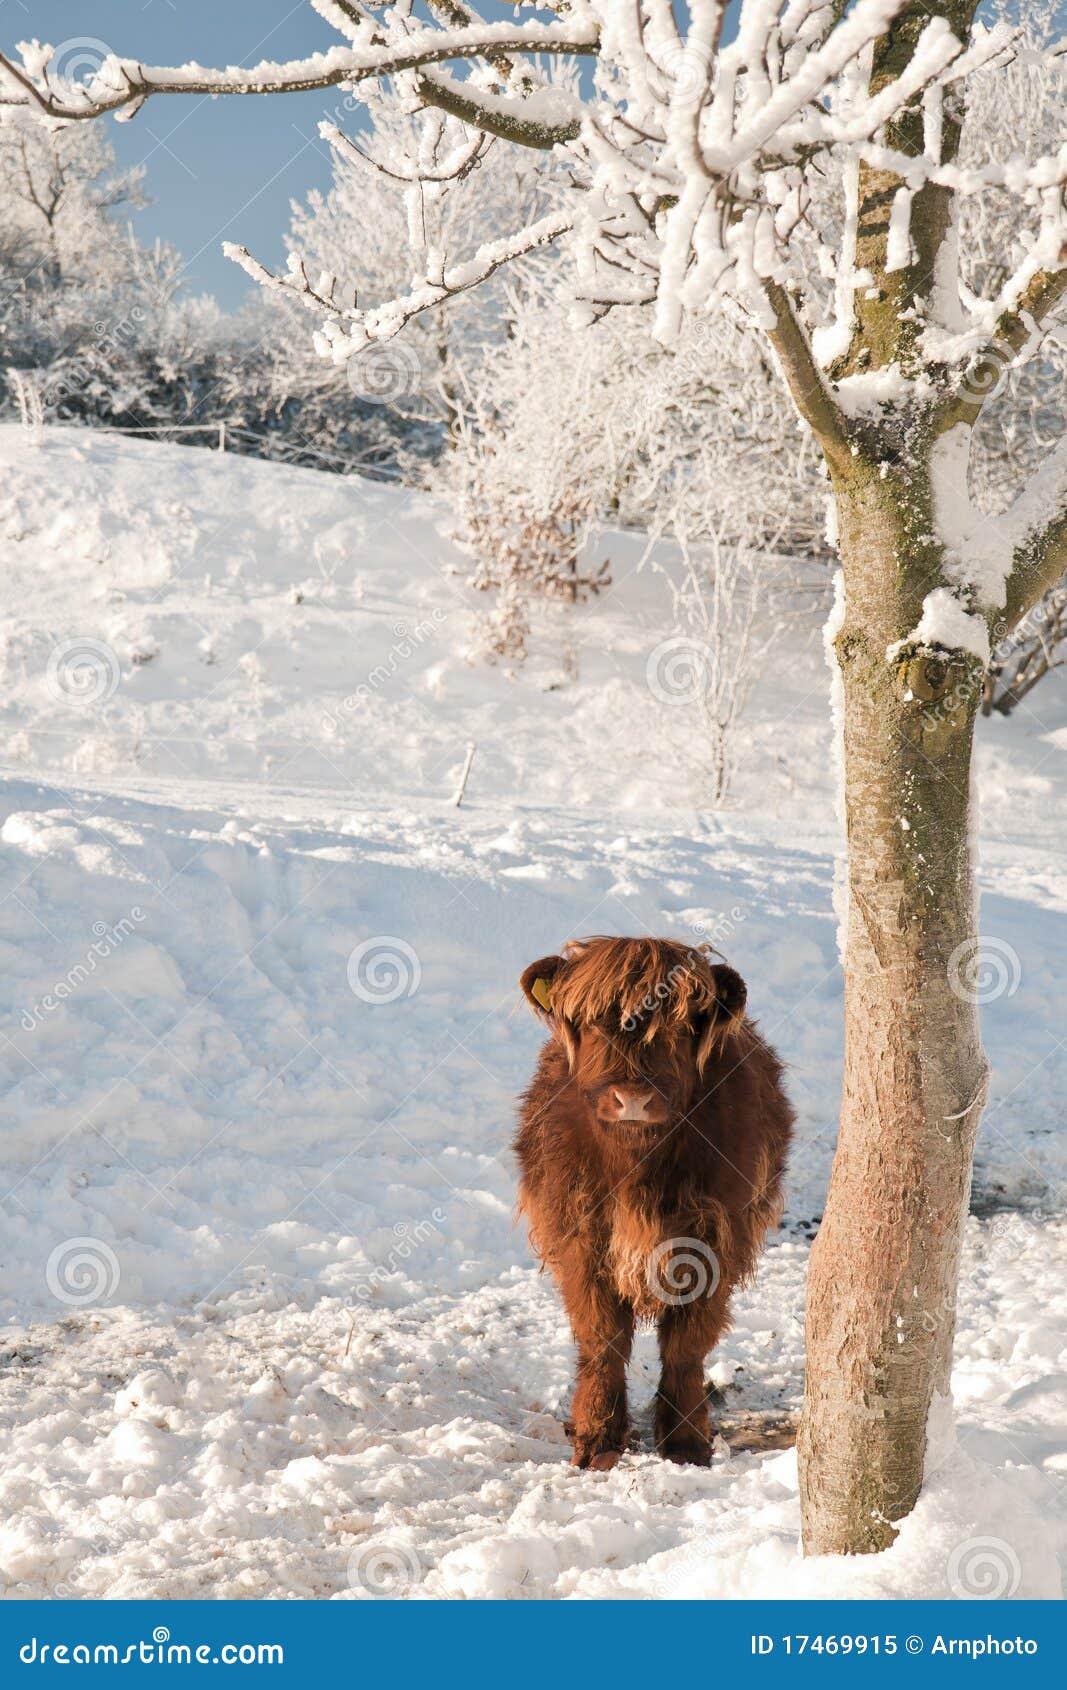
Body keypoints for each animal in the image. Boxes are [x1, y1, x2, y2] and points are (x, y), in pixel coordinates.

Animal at [514, 936, 793, 1470]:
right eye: (591, 1022)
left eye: (680, 1027)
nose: (633, 1099)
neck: (636, 1166)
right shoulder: (579, 1236)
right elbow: (602, 1337)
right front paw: (598, 1441)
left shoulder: (716, 1238)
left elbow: (686, 1343)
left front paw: (685, 1444)